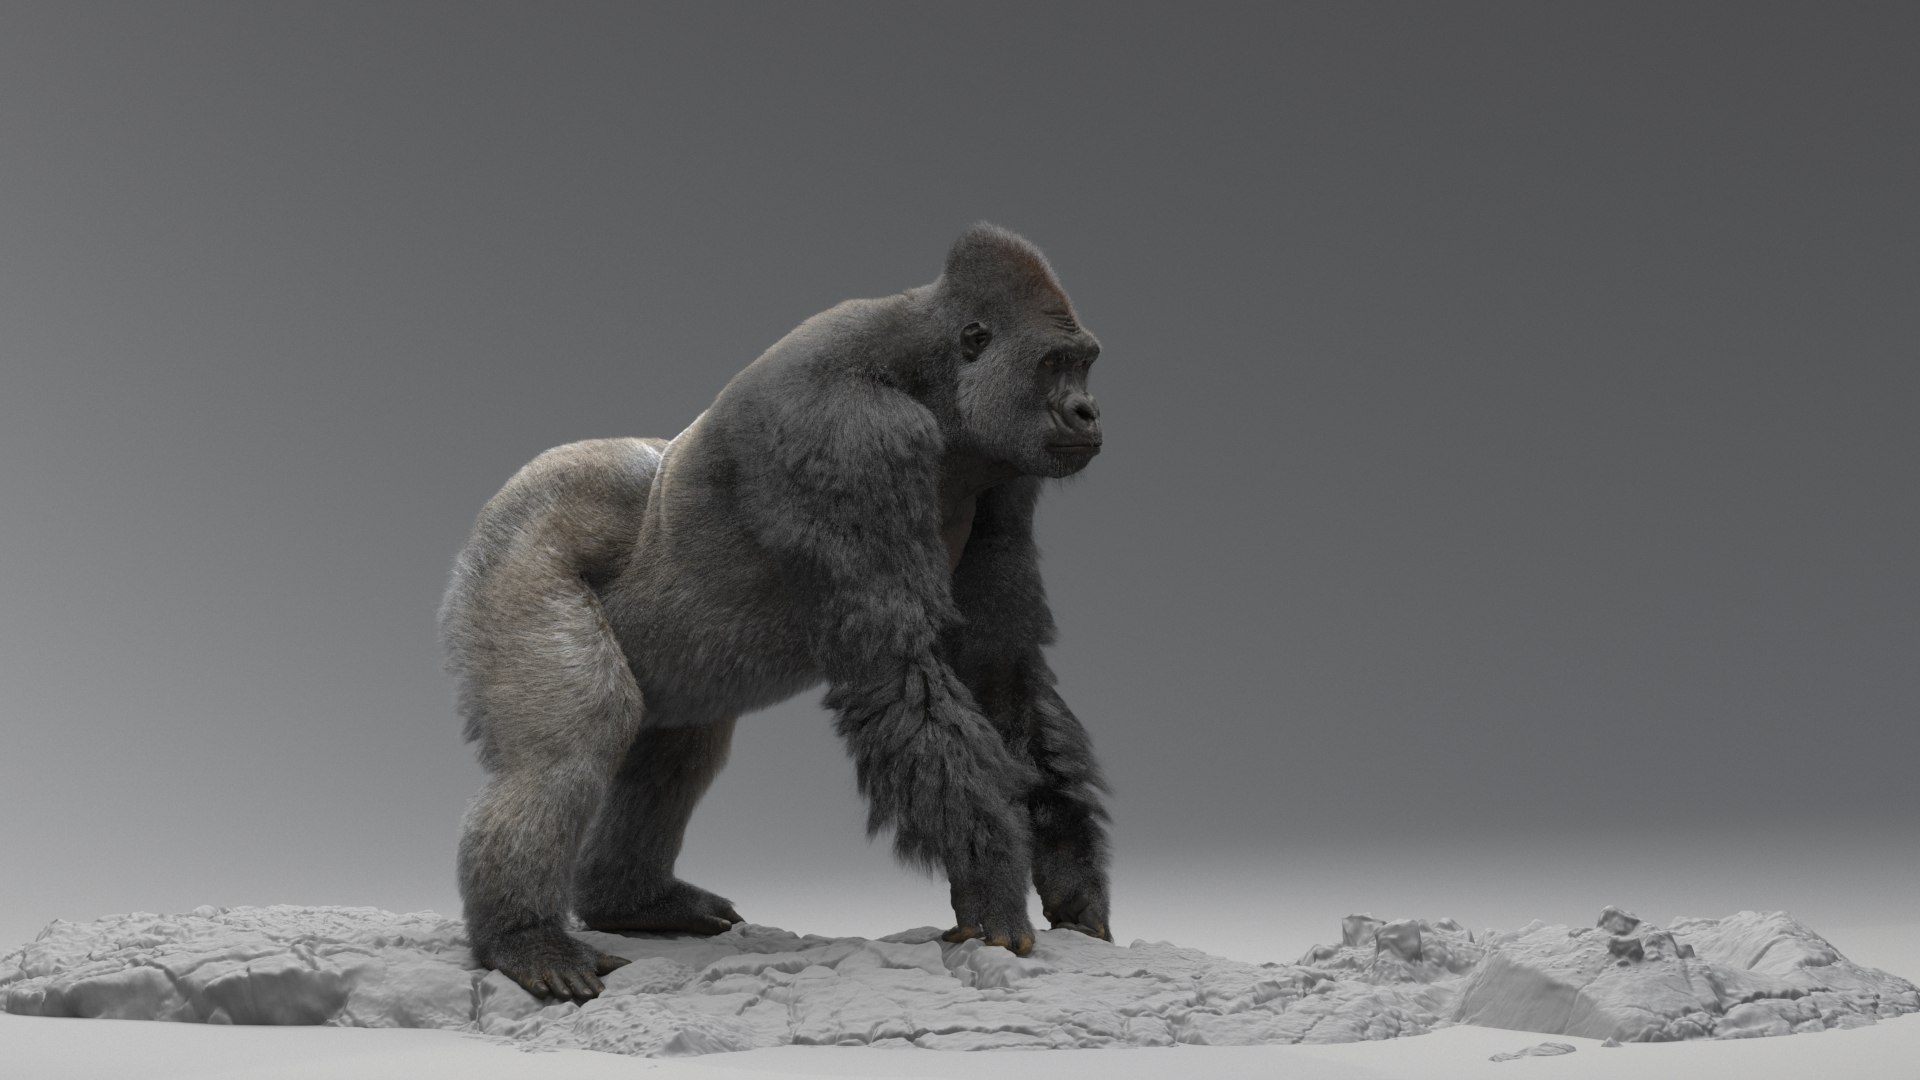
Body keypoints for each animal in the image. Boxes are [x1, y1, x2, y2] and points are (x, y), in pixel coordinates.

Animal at [439, 223, 1111, 1002]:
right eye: (1054, 363)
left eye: (1084, 365)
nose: (1089, 412)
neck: (927, 373)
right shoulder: (849, 437)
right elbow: (896, 671)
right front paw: (992, 885)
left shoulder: (1007, 474)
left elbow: (999, 666)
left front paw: (1070, 873)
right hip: (519, 536)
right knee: (571, 745)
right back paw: (522, 939)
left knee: (677, 752)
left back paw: (632, 902)